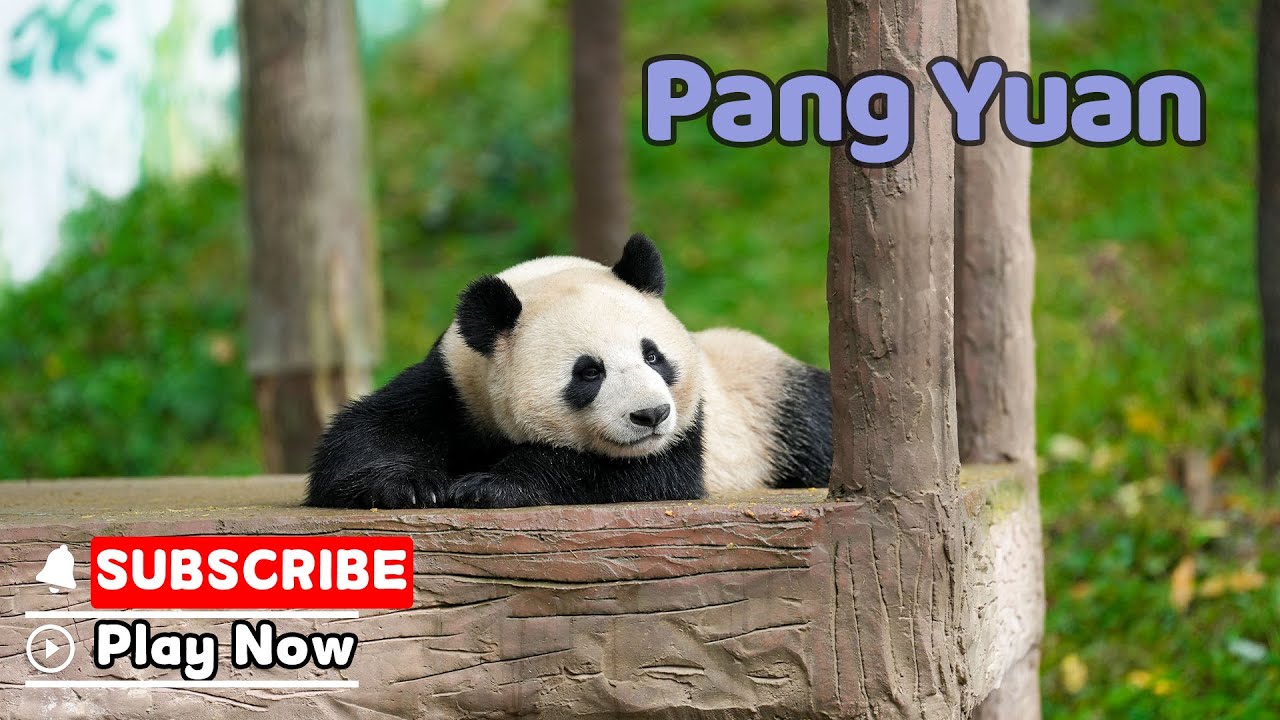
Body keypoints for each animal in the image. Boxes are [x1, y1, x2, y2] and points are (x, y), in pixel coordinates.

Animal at [306, 234, 831, 509]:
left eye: (653, 356)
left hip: (770, 403)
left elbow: (638, 473)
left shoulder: (690, 428)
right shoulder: (455, 382)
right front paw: (411, 486)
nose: (651, 415)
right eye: (589, 372)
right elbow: (368, 433)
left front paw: (488, 485)